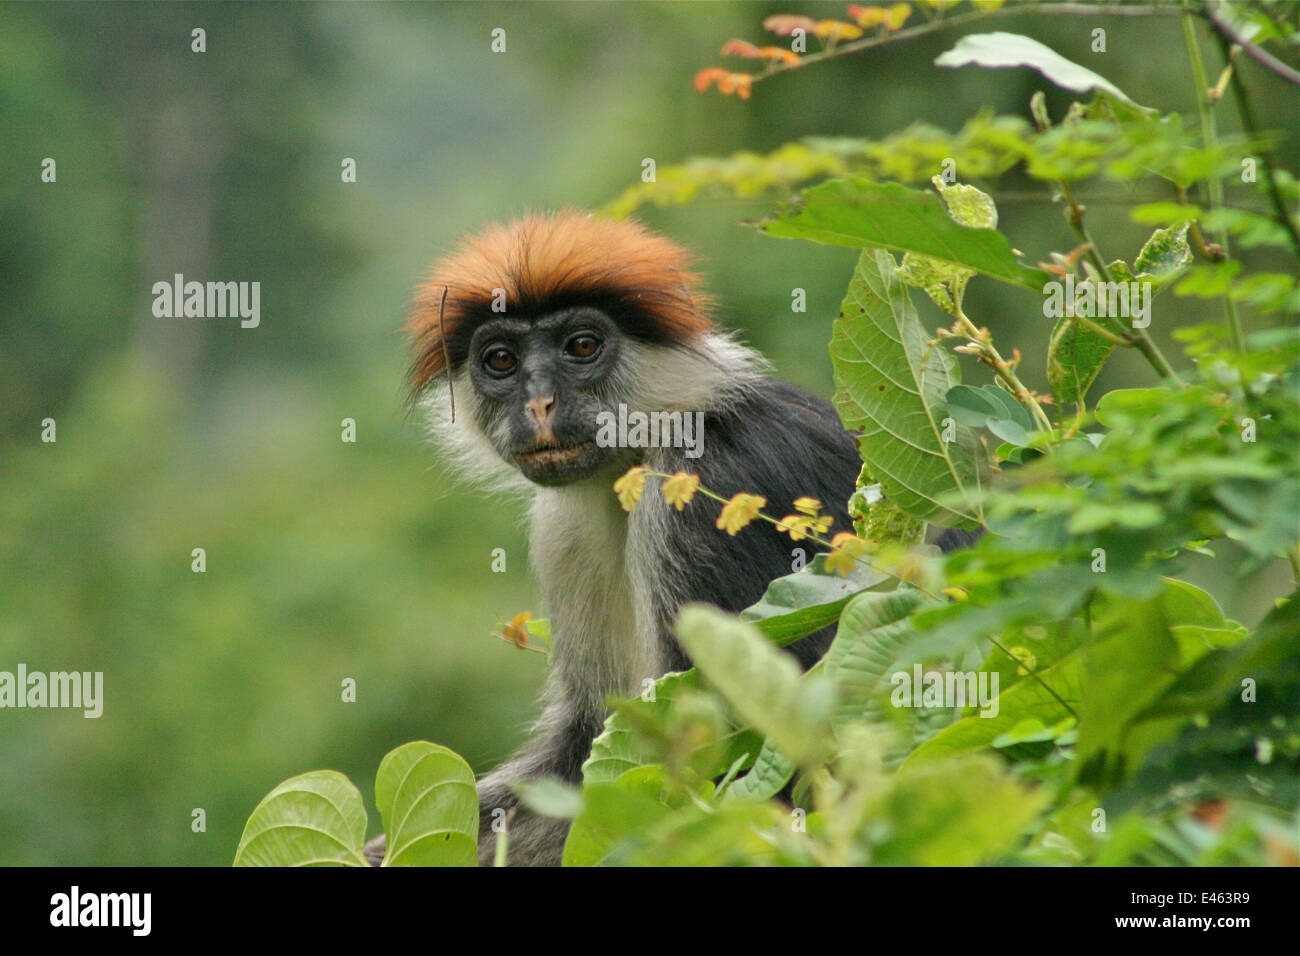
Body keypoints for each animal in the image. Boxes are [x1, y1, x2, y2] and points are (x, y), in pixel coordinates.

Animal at [364, 210, 976, 866]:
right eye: (500, 360)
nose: (540, 403)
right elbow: (586, 754)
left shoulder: (714, 481)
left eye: (582, 346)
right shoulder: (564, 530)